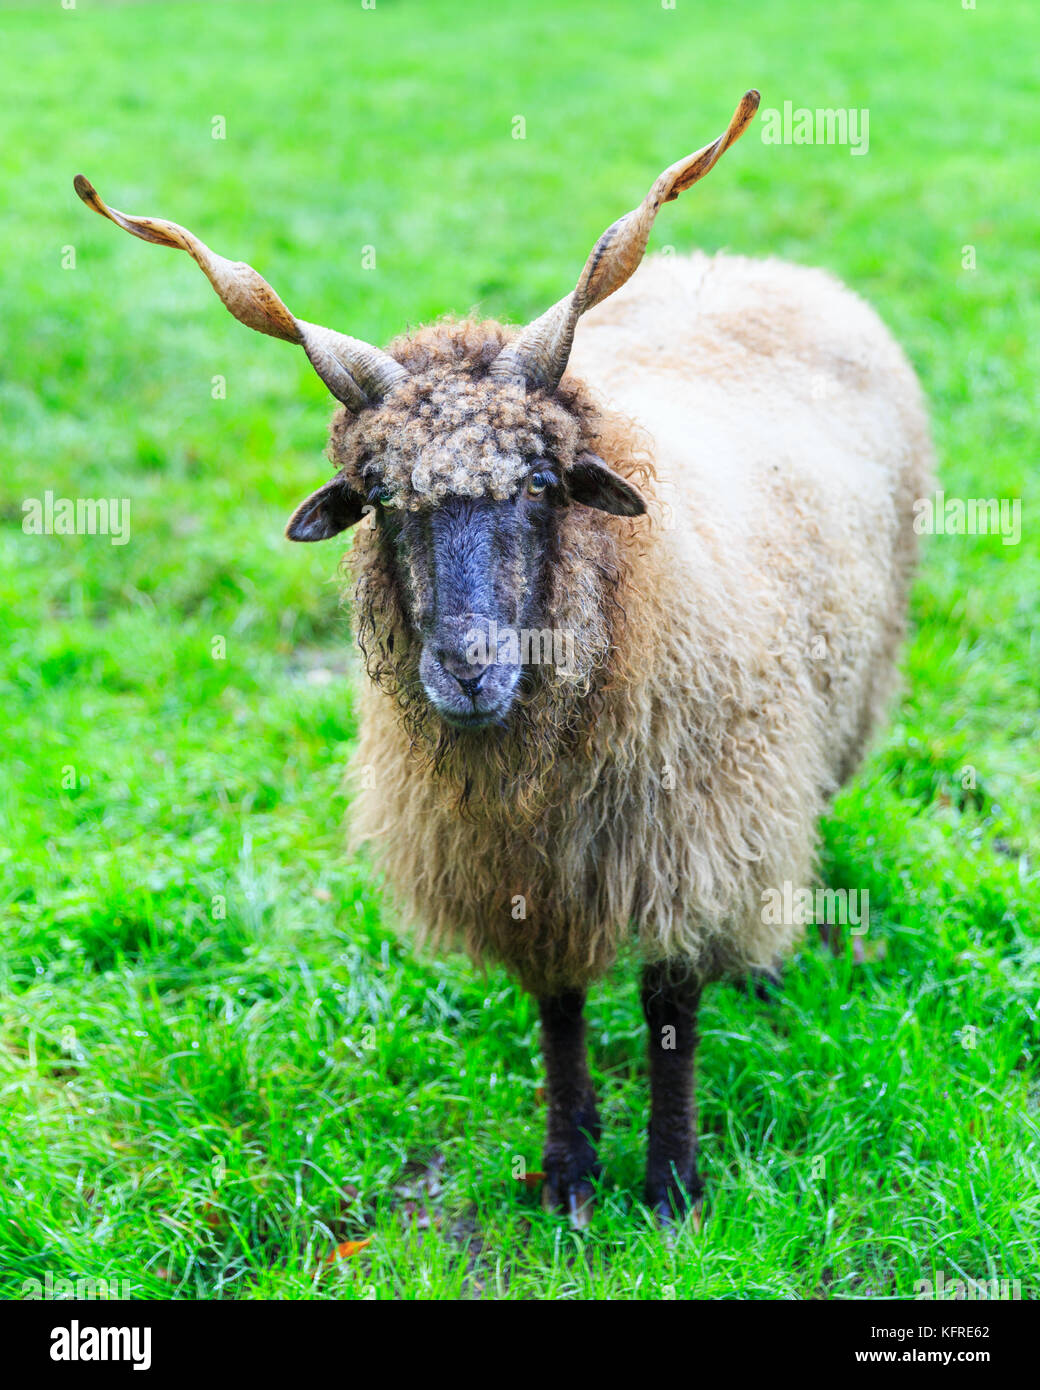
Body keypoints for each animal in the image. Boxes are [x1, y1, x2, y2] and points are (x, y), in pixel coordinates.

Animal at [72, 92, 934, 1228]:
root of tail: (756, 265)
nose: (466, 669)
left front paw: (669, 1184)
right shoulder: (516, 874)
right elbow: (559, 1009)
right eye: (379, 495)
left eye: (540, 481)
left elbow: (669, 1010)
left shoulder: (686, 841)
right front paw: (568, 1168)